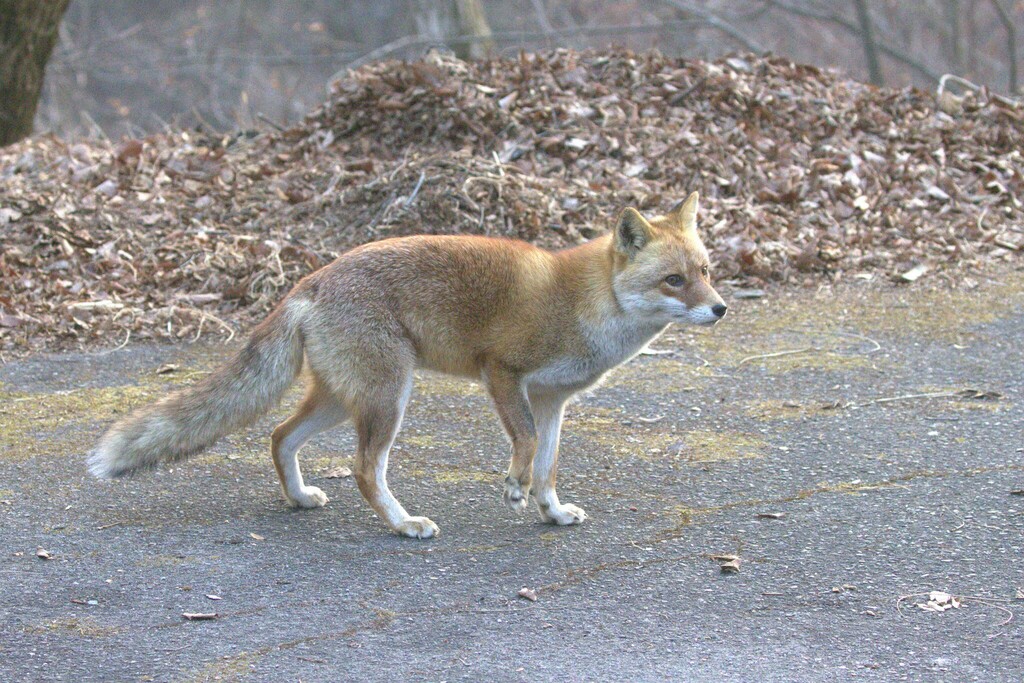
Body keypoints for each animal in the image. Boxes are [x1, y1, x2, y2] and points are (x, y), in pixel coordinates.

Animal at [90, 191, 726, 538]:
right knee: (364, 470)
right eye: (674, 281)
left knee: (279, 435)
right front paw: (513, 489)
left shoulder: (553, 399)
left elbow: (547, 464)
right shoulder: (503, 373)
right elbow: (523, 447)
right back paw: (402, 524)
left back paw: (299, 498)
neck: (587, 305)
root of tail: (311, 280)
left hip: (343, 399)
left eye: (705, 271)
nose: (721, 309)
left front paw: (549, 510)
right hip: (387, 397)